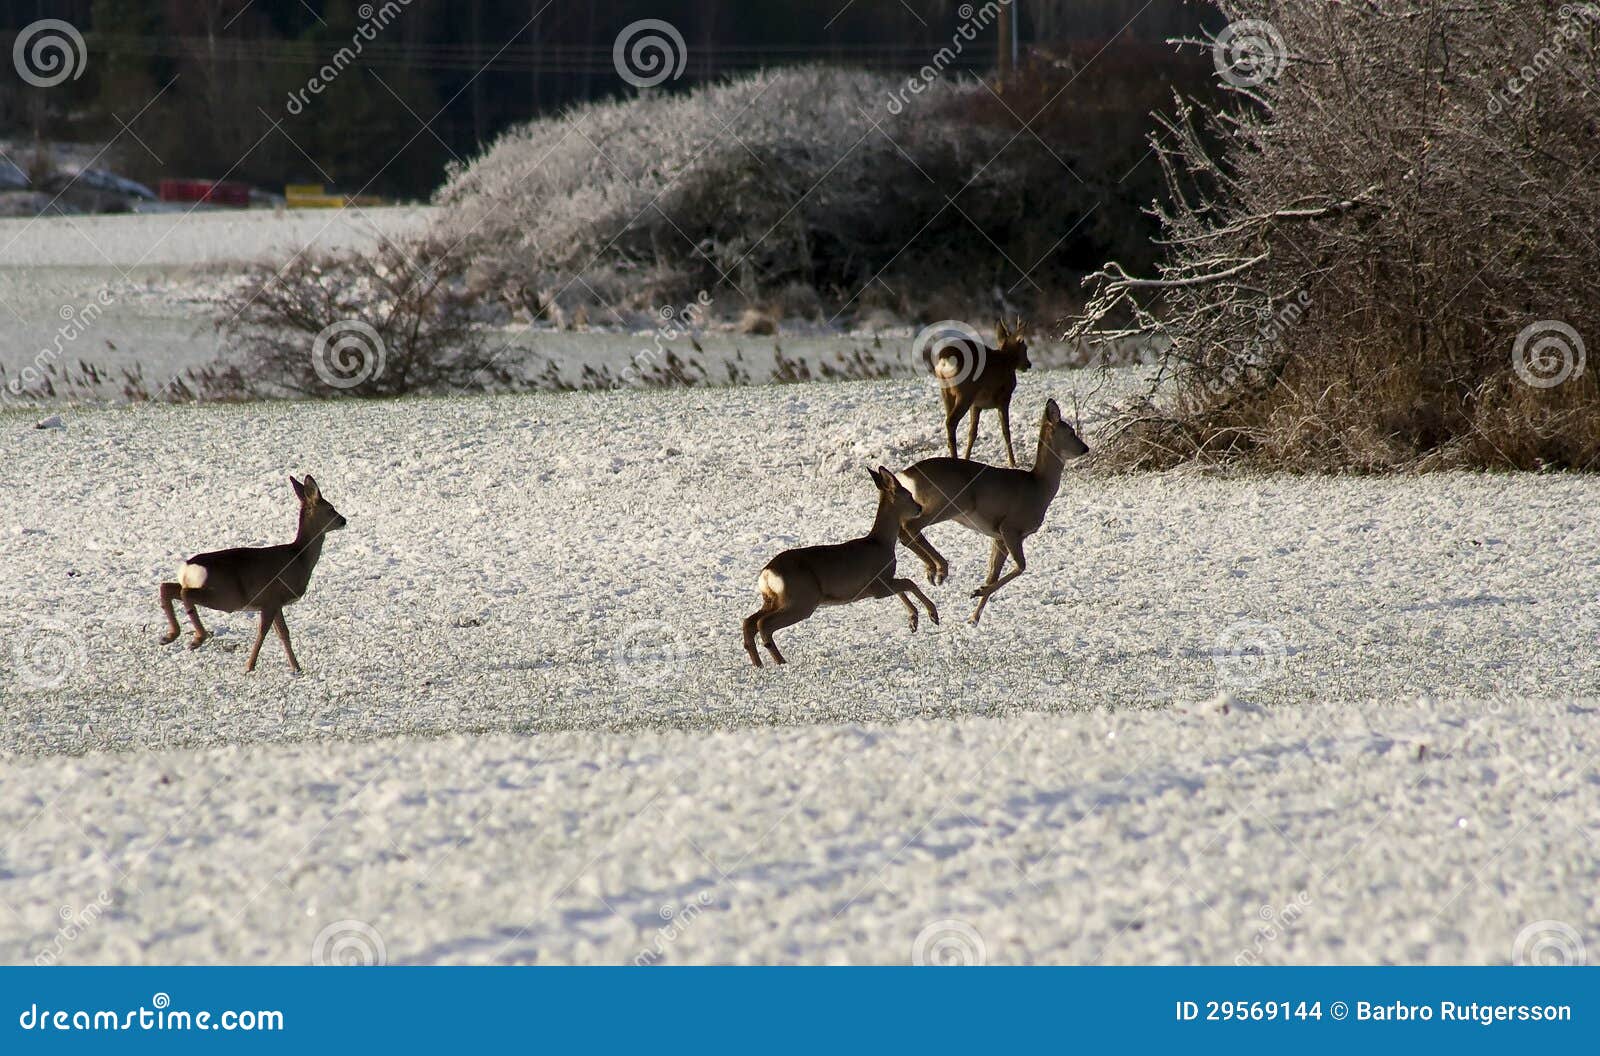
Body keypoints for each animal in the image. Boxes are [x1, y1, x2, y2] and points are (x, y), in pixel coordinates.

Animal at [158, 475, 347, 673]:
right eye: (330, 508)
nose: (343, 520)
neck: (298, 557)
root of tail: (187, 568)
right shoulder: (270, 599)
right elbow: (264, 631)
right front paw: (249, 666)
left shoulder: (276, 603)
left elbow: (283, 633)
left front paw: (296, 667)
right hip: (225, 595)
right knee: (184, 593)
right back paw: (197, 639)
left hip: (209, 590)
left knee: (167, 587)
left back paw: (169, 636)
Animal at [743, 467, 939, 667]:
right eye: (909, 495)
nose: (919, 508)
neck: (882, 543)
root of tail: (767, 573)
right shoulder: (876, 585)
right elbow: (908, 582)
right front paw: (932, 615)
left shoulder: (884, 581)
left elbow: (903, 590)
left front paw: (914, 621)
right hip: (801, 600)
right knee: (763, 623)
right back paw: (781, 662)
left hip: (775, 599)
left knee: (749, 622)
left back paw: (758, 664)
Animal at [894, 399, 1088, 625]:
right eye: (1070, 432)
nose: (1085, 448)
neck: (1039, 486)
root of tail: (907, 474)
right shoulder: (1010, 527)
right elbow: (1021, 566)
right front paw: (977, 591)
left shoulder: (998, 537)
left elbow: (992, 574)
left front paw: (974, 617)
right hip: (948, 502)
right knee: (910, 527)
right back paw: (940, 570)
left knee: (903, 532)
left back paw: (931, 572)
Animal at [933, 318, 1032, 467]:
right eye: (1025, 348)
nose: (1029, 364)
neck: (1007, 361)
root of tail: (944, 359)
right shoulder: (1004, 398)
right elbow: (1006, 430)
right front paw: (1013, 462)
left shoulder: (976, 405)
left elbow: (972, 433)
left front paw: (967, 458)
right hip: (965, 393)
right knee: (951, 421)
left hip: (945, 391)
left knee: (948, 420)